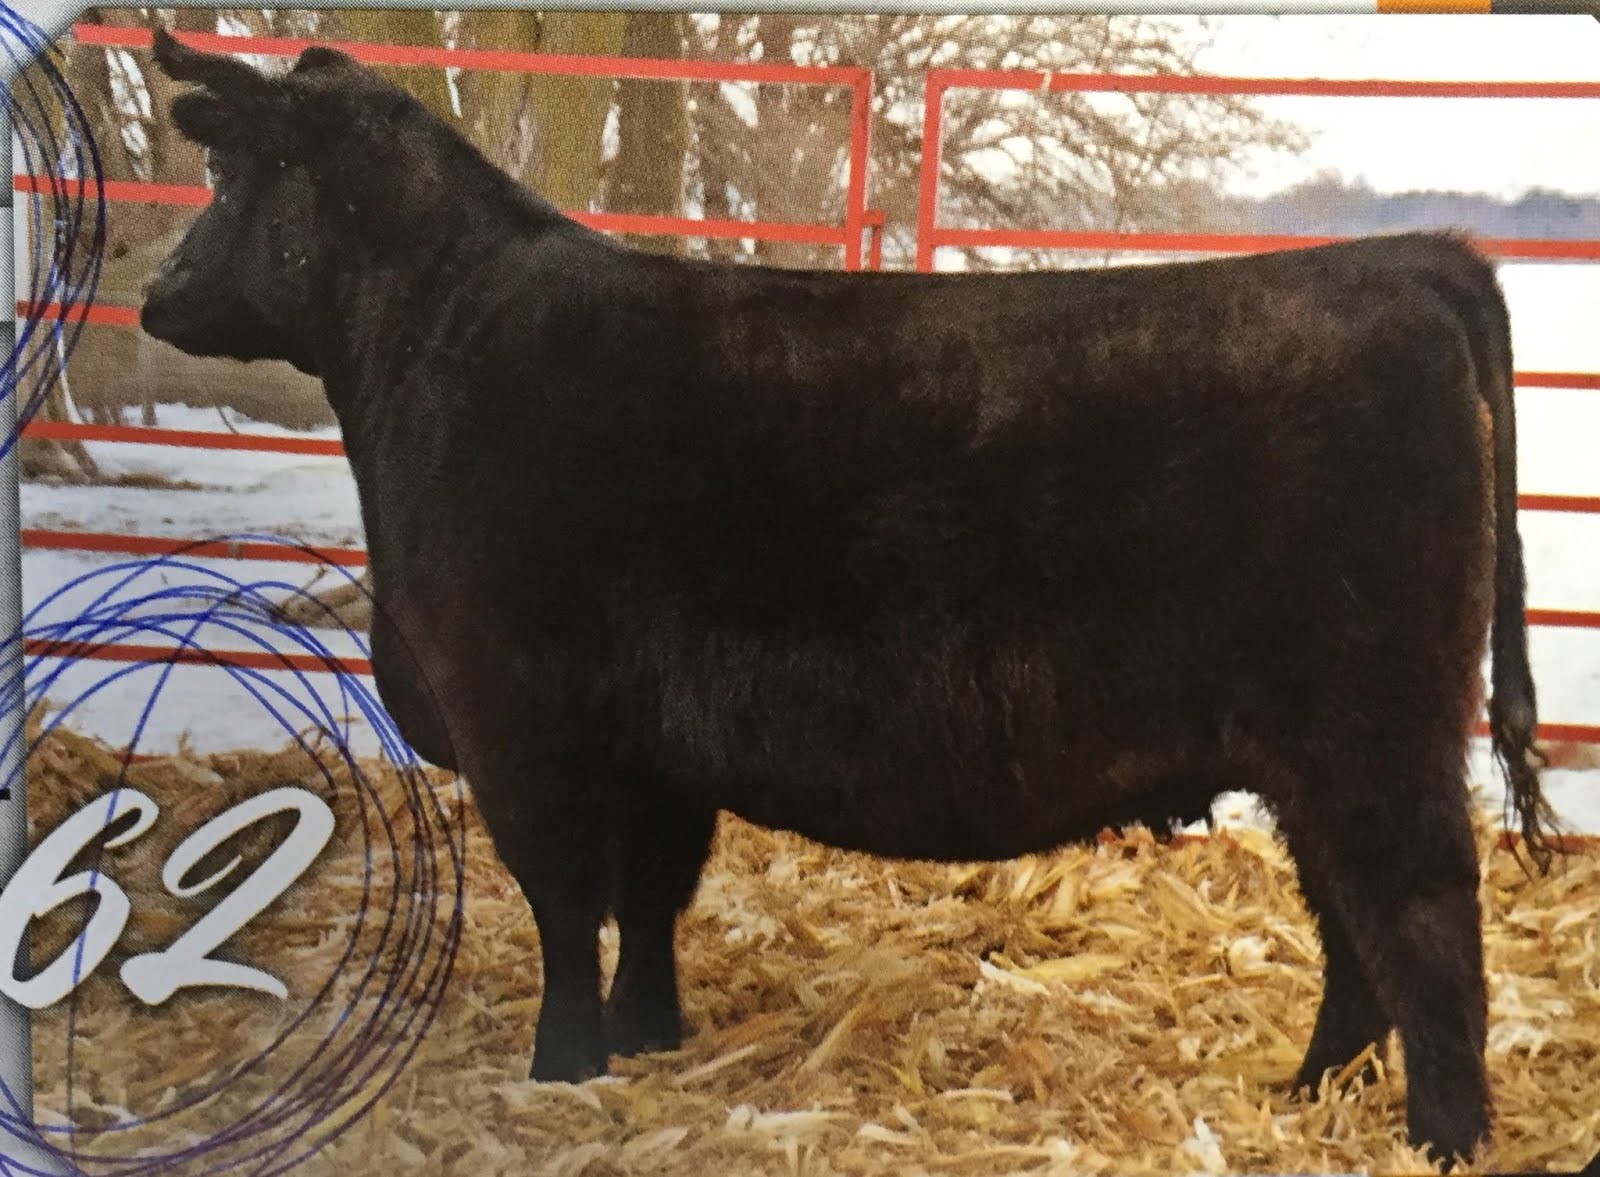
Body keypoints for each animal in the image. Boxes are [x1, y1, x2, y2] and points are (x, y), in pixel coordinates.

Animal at [139, 29, 1556, 1165]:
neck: (432, 354)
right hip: (1315, 749)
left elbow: (564, 905)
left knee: (1422, 921)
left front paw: (561, 1067)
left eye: (228, 176)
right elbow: (648, 899)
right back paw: (1310, 1094)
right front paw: (649, 1040)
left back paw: (1440, 1137)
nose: (155, 292)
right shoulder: (650, 746)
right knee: (1351, 930)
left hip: (1371, 732)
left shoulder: (520, 719)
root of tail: (1407, 263)